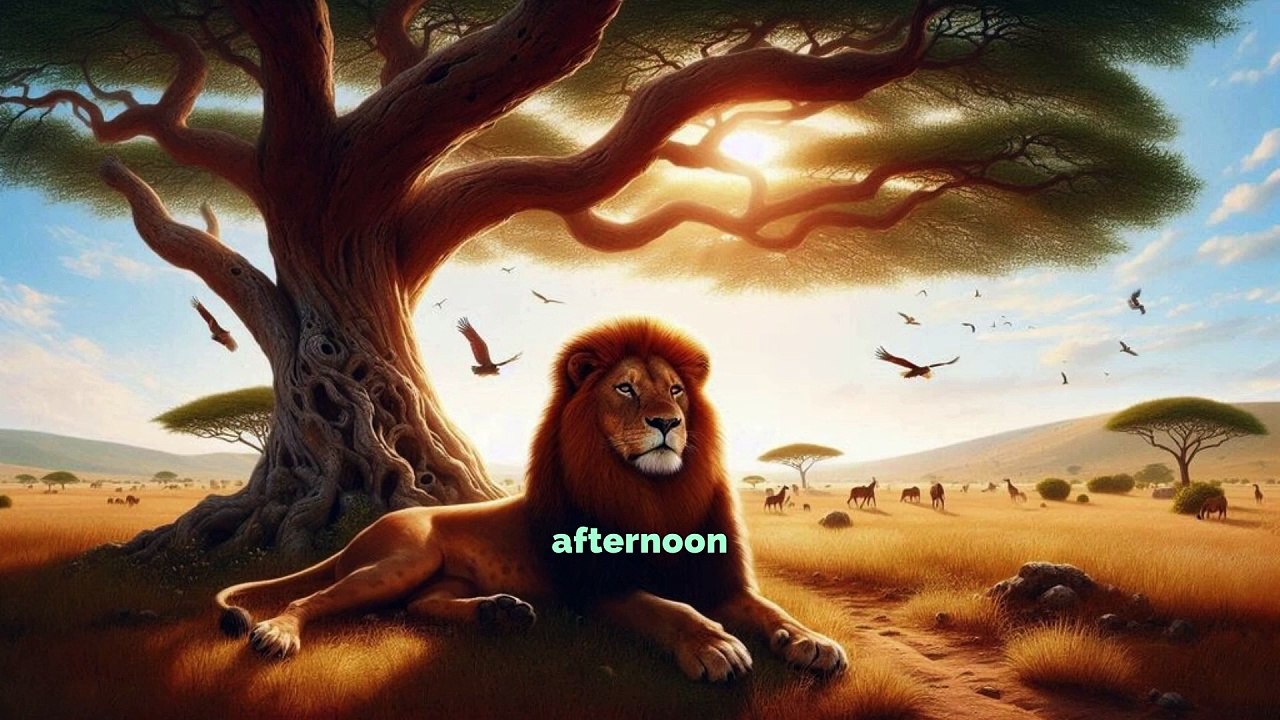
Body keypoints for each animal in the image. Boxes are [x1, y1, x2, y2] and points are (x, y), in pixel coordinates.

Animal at [214, 318, 847, 681]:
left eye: (676, 390)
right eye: (625, 388)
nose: (668, 422)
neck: (654, 493)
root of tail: (372, 528)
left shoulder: (723, 581)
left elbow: (772, 610)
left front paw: (813, 642)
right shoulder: (596, 589)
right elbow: (668, 608)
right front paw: (715, 645)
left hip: (435, 575)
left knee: (418, 606)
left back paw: (499, 613)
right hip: (404, 557)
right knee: (315, 598)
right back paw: (277, 633)